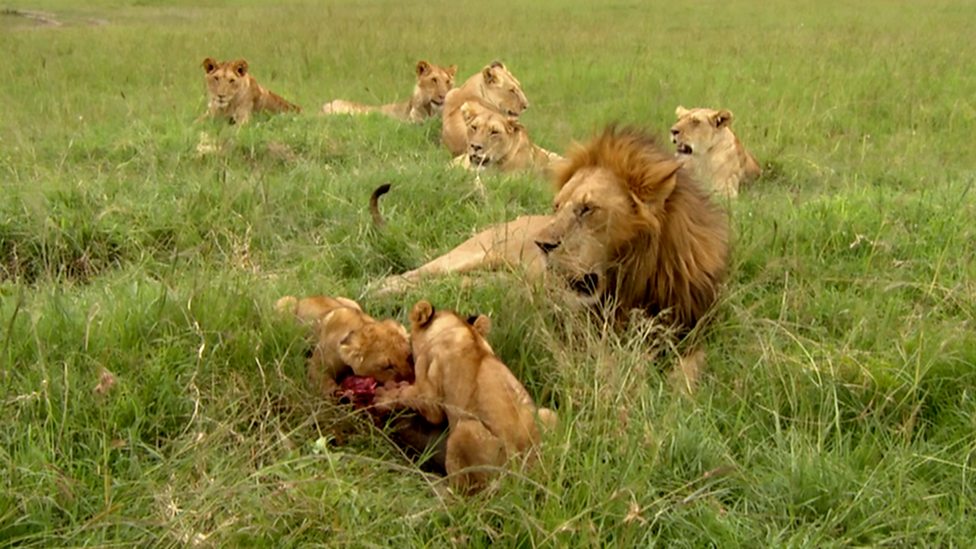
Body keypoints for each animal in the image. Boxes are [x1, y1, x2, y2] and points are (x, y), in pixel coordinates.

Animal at [275, 294, 412, 398]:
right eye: (387, 367)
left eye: (408, 357)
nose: (410, 379)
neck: (360, 325)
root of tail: (307, 297)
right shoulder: (316, 366)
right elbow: (326, 386)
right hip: (286, 301)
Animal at [376, 300, 556, 492]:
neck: (459, 328)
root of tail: (528, 471)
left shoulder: (430, 395)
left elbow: (407, 396)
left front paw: (381, 397)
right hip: (548, 414)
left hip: (464, 431)